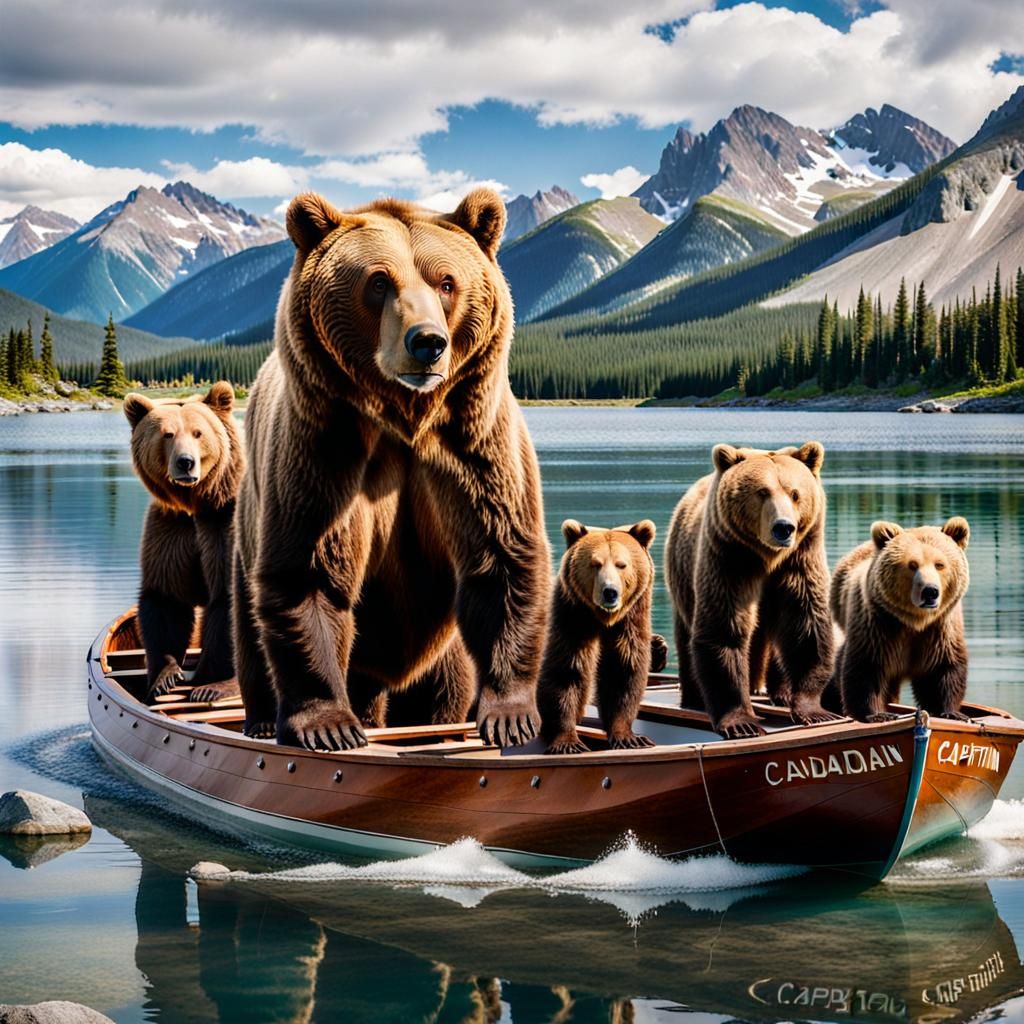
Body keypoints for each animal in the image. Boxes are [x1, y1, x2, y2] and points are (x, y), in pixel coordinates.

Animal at [123, 382, 244, 704]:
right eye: (167, 434)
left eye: (198, 432)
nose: (185, 463)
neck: (197, 503)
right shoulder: (172, 529)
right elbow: (167, 598)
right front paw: (165, 677)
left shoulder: (224, 524)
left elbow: (227, 598)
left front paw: (211, 683)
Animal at [233, 188, 550, 750]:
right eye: (378, 281)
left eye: (446, 282)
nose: (428, 342)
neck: (404, 418)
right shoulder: (326, 453)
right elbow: (310, 569)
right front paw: (328, 726)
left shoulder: (472, 450)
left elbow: (501, 556)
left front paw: (510, 716)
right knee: (251, 624)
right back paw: (264, 718)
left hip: (440, 649)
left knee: (444, 683)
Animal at [537, 519, 659, 754]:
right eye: (595, 563)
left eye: (622, 564)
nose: (610, 592)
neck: (603, 619)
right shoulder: (572, 619)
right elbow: (566, 671)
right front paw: (567, 742)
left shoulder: (629, 622)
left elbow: (623, 670)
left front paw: (629, 738)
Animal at [664, 442, 838, 739]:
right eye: (762, 492)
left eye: (795, 493)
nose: (784, 528)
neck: (767, 558)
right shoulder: (729, 559)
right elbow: (724, 630)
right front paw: (741, 722)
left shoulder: (799, 561)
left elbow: (806, 625)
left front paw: (814, 711)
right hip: (682, 570)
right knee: (687, 638)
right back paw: (695, 699)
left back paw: (778, 693)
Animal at [830, 517, 971, 722]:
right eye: (912, 565)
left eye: (939, 564)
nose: (930, 592)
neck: (915, 621)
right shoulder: (878, 626)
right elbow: (866, 668)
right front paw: (877, 714)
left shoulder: (940, 630)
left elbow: (942, 668)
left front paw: (951, 712)